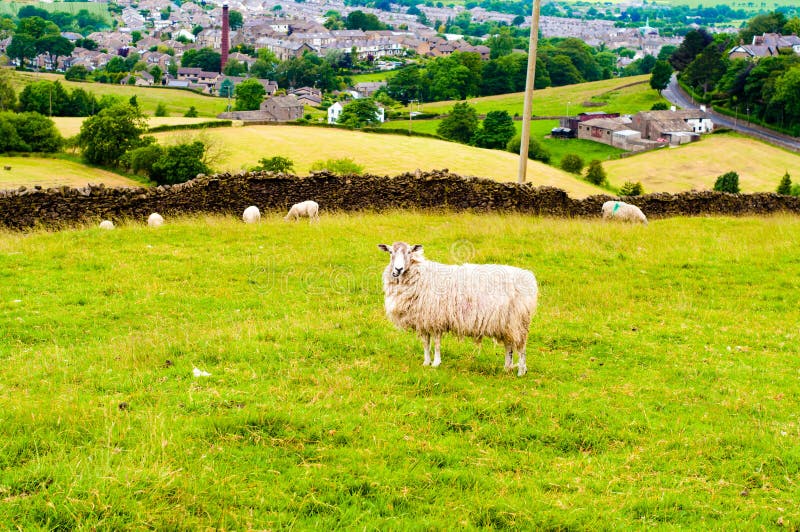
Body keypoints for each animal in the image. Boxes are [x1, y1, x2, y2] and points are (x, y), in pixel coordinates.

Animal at [378, 241, 538, 377]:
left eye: (409, 252)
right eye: (391, 252)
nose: (398, 269)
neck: (419, 275)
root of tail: (529, 278)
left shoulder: (436, 318)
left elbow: (436, 343)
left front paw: (436, 363)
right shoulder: (423, 320)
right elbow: (425, 343)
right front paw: (426, 362)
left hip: (518, 321)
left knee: (521, 347)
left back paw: (521, 371)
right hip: (507, 323)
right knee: (509, 346)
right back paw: (507, 368)